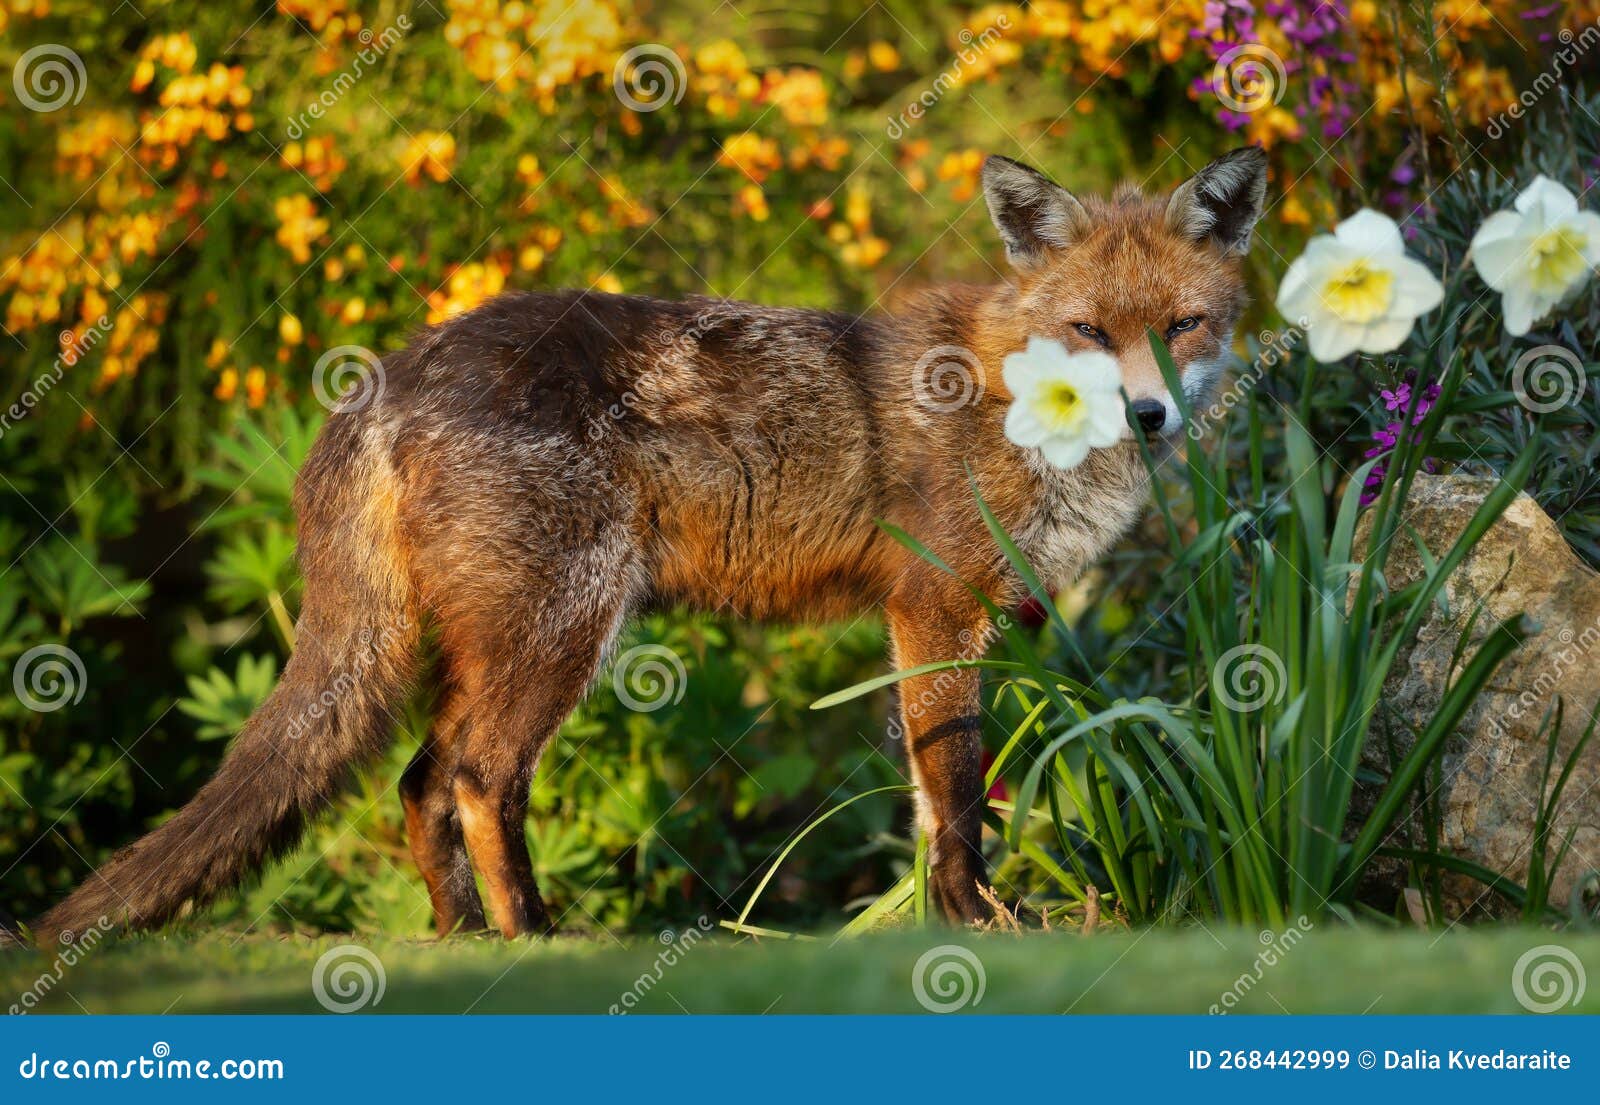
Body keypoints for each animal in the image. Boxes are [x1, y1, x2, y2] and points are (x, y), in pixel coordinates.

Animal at [32, 147, 1268, 942]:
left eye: (1182, 327)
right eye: (1089, 332)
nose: (1150, 416)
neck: (1015, 403)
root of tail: (392, 370)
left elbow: (936, 797)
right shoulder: (931, 604)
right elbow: (955, 790)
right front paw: (973, 919)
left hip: (493, 640)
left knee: (421, 782)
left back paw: (458, 941)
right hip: (563, 627)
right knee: (479, 777)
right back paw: (536, 939)